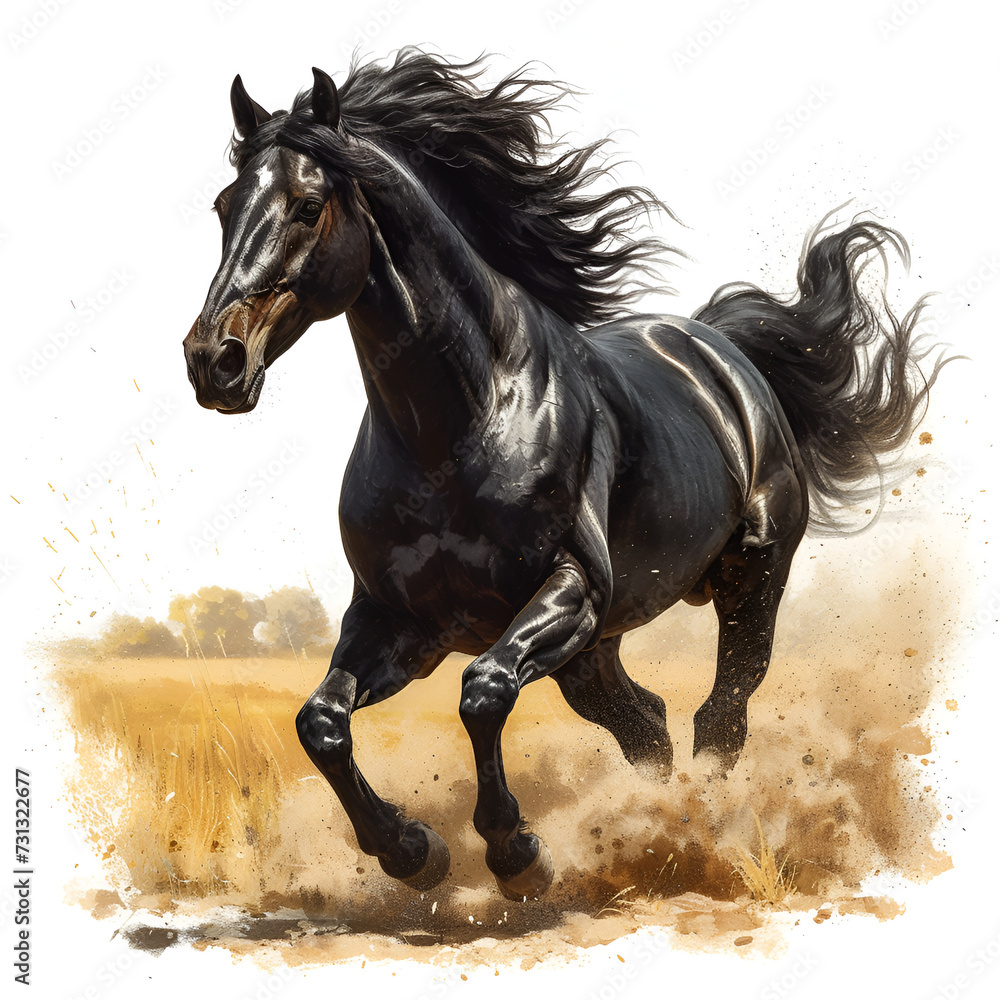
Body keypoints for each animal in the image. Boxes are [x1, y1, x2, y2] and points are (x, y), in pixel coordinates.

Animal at [183, 50, 944, 901]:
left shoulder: (568, 590)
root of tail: (723, 352)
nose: (213, 360)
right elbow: (319, 723)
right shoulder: (396, 620)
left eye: (309, 206)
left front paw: (516, 852)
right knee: (648, 725)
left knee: (719, 716)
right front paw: (413, 851)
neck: (455, 427)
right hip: (591, 656)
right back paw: (657, 833)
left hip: (747, 584)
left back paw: (710, 836)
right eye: (223, 205)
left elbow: (482, 694)